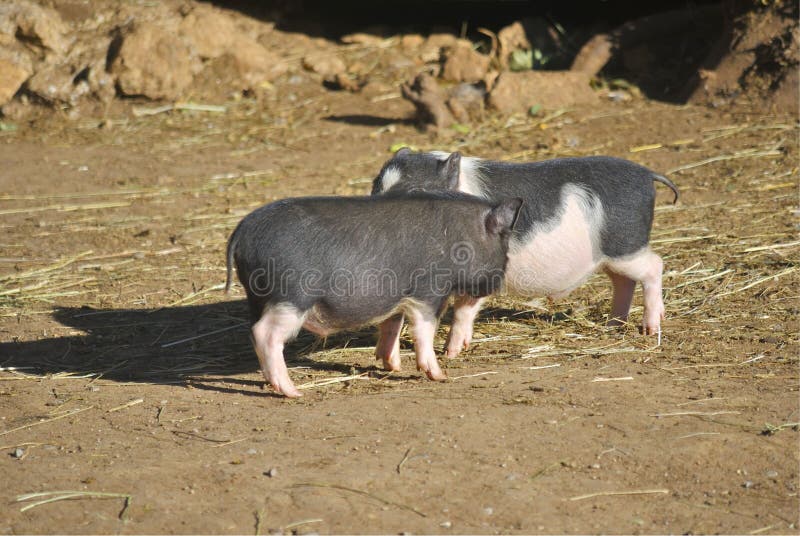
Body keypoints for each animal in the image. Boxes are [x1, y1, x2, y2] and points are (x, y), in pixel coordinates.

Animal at [225, 192, 523, 397]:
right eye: (504, 248)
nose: (497, 282)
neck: (462, 236)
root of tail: (243, 231)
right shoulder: (428, 289)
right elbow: (424, 329)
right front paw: (439, 375)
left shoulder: (396, 295)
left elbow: (392, 324)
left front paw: (392, 367)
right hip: (292, 297)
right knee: (264, 334)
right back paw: (293, 392)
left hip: (258, 297)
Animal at [371, 149, 679, 357]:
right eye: (376, 186)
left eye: (416, 191)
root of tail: (646, 175)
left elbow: (464, 309)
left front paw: (450, 352)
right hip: (612, 258)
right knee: (623, 281)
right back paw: (614, 323)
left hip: (626, 245)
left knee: (654, 266)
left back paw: (651, 329)